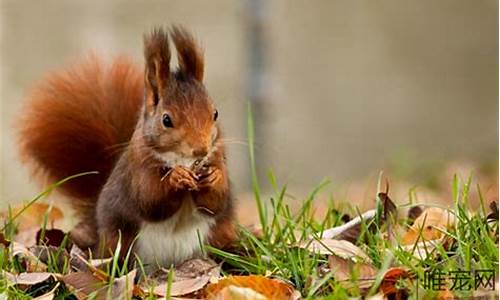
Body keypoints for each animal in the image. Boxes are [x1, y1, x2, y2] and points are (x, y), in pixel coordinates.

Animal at [15, 27, 234, 268]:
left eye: (215, 113)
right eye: (166, 120)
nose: (201, 150)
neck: (181, 159)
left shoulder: (218, 157)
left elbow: (215, 203)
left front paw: (214, 177)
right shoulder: (138, 170)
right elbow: (150, 199)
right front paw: (176, 178)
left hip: (219, 235)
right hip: (120, 241)